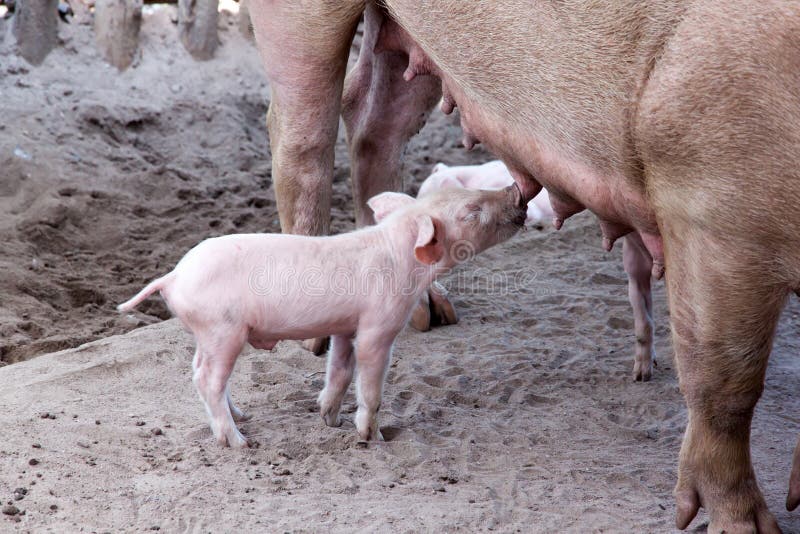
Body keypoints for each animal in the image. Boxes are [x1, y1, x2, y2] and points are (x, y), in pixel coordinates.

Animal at [118, 185, 527, 447]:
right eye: (470, 212)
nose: (514, 189)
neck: (401, 258)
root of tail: (173, 276)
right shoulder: (379, 323)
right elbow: (371, 383)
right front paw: (373, 437)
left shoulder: (346, 326)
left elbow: (341, 371)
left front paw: (330, 419)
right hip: (223, 329)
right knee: (206, 379)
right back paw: (239, 442)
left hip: (209, 334)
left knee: (201, 371)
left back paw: (243, 416)